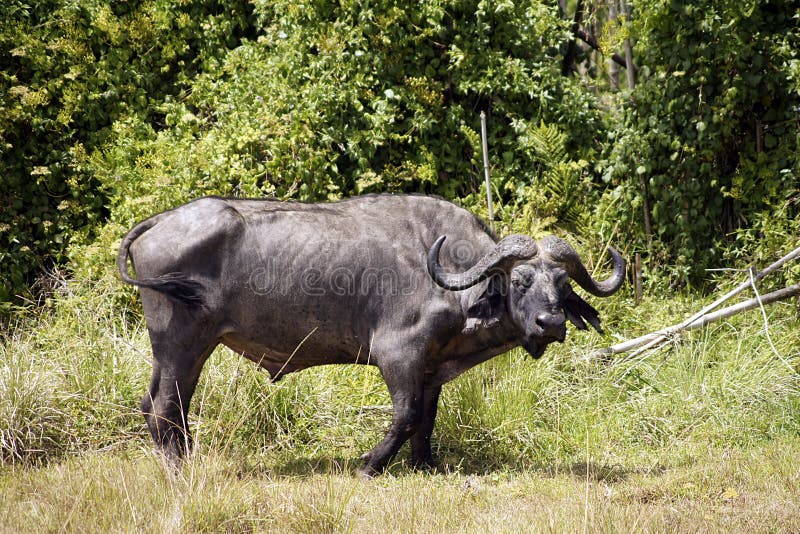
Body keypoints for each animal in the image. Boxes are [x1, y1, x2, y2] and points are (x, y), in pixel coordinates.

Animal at [117, 194, 624, 475]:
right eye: (520, 281)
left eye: (562, 285)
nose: (551, 324)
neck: (449, 278)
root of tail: (162, 220)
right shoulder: (398, 356)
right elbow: (406, 416)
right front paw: (370, 465)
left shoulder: (431, 368)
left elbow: (427, 420)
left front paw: (425, 465)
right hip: (181, 343)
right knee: (164, 408)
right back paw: (180, 471)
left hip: (182, 349)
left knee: (160, 406)